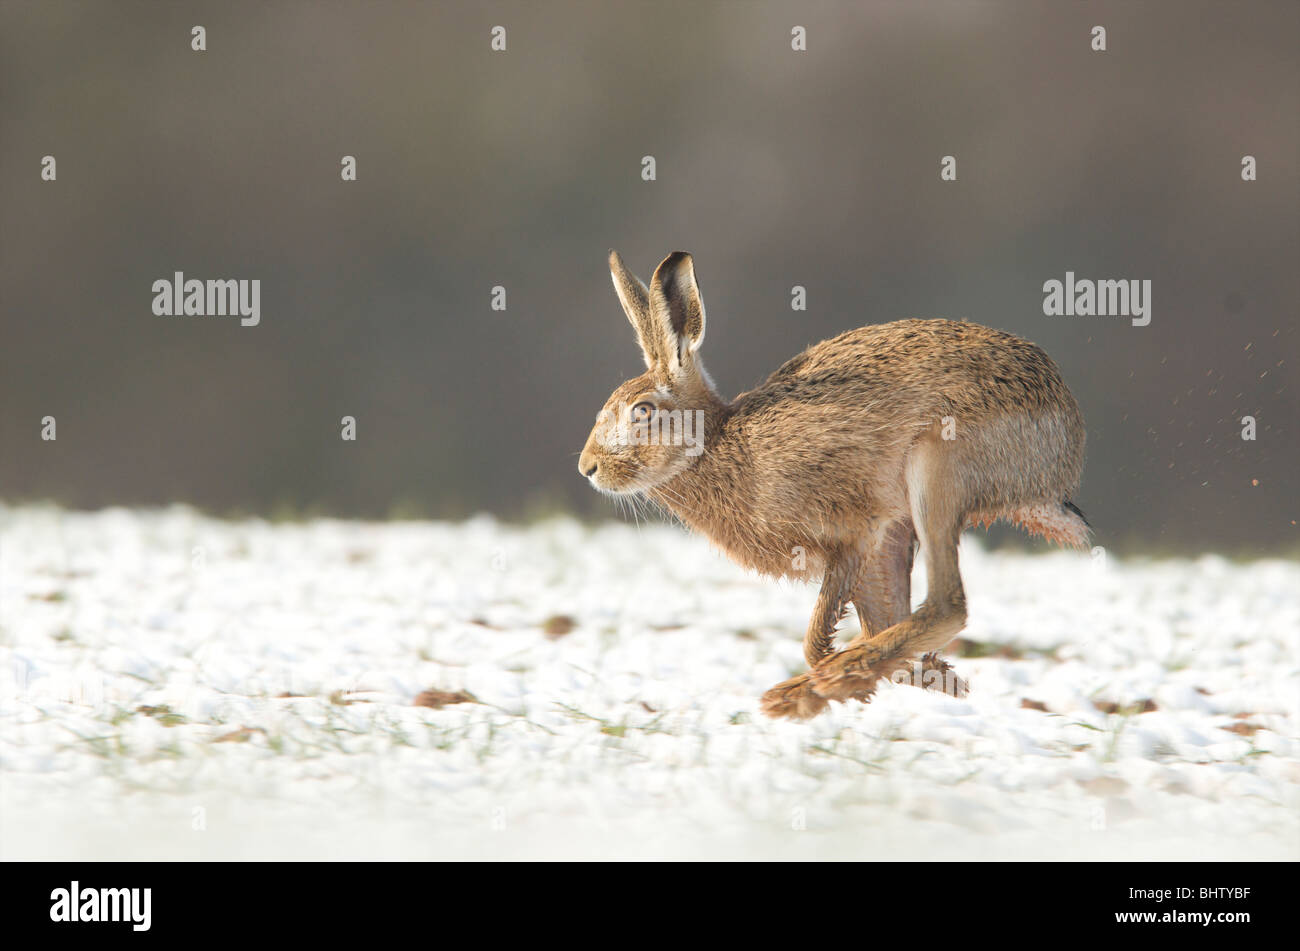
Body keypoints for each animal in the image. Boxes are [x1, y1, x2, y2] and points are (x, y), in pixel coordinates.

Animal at [579, 250, 1088, 719]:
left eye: (642, 411)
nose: (588, 468)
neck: (716, 442)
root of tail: (1064, 446)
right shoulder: (874, 540)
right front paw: (930, 675)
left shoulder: (851, 534)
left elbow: (815, 637)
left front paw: (828, 681)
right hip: (906, 521)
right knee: (901, 617)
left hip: (936, 470)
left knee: (948, 604)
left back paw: (803, 694)